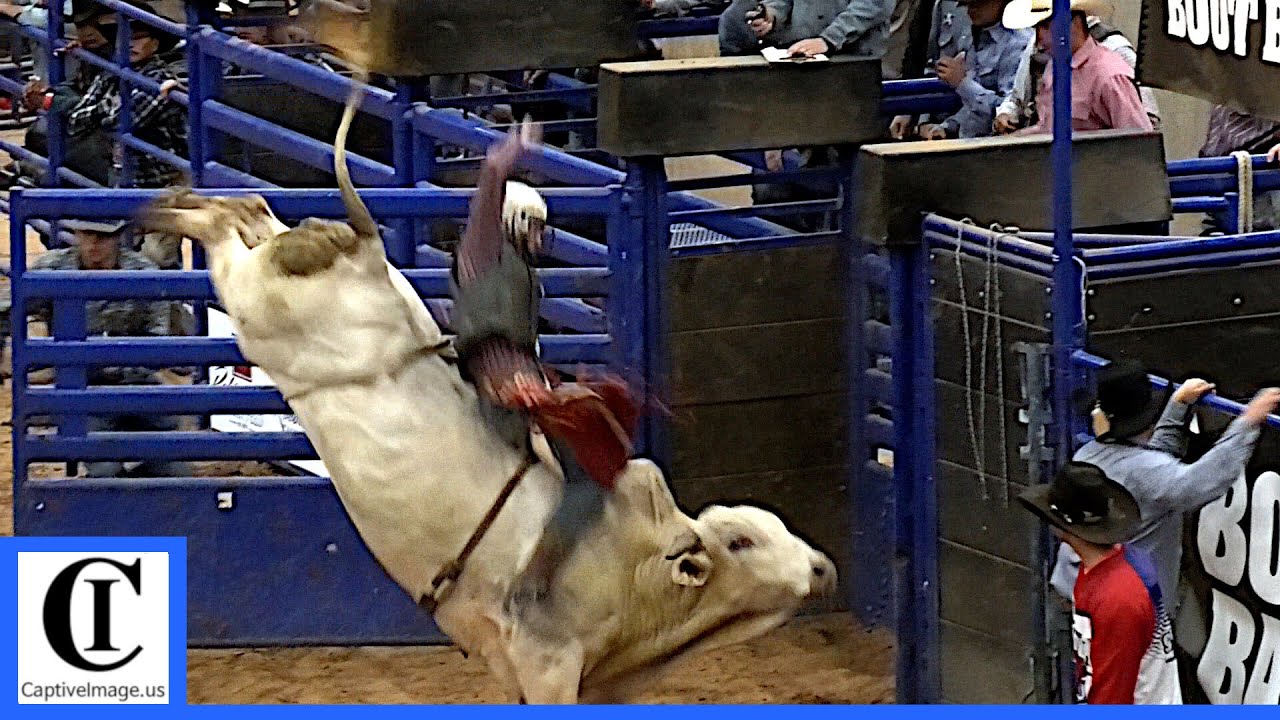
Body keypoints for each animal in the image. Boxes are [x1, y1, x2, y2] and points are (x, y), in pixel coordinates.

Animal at [137, 75, 837, 705]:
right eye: (742, 541)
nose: (822, 568)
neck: (638, 568)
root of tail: (367, 251)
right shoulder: (547, 661)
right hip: (258, 304)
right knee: (226, 236)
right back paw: (161, 207)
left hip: (270, 276)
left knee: (248, 214)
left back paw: (176, 200)